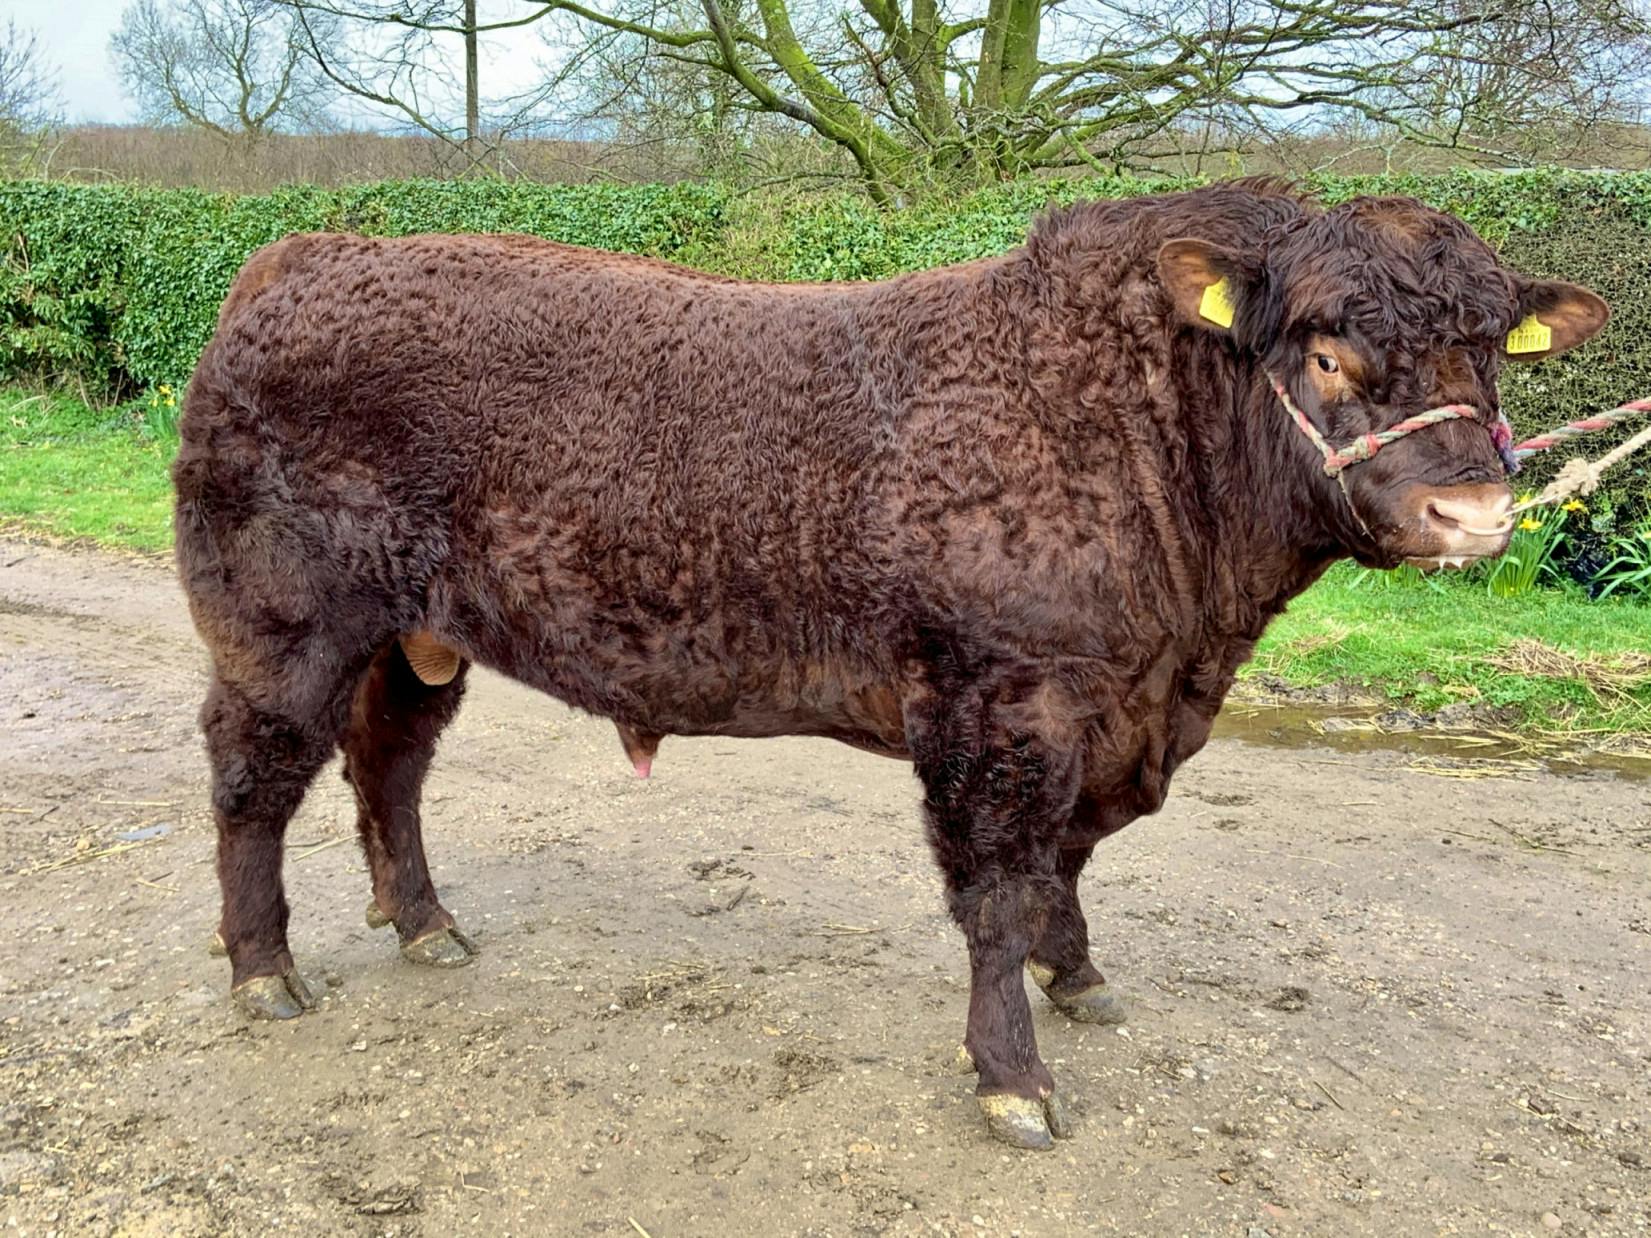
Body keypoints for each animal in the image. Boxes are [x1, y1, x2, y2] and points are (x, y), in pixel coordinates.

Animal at [172, 179, 1607, 1149]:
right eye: (1321, 346)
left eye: (1489, 346)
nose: (1471, 512)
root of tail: (306, 255)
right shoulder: (998, 702)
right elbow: (996, 890)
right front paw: (1013, 1078)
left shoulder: (1109, 708)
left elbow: (1063, 865)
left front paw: (1078, 977)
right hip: (281, 622)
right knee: (256, 778)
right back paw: (264, 971)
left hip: (416, 639)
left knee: (387, 764)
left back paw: (424, 923)